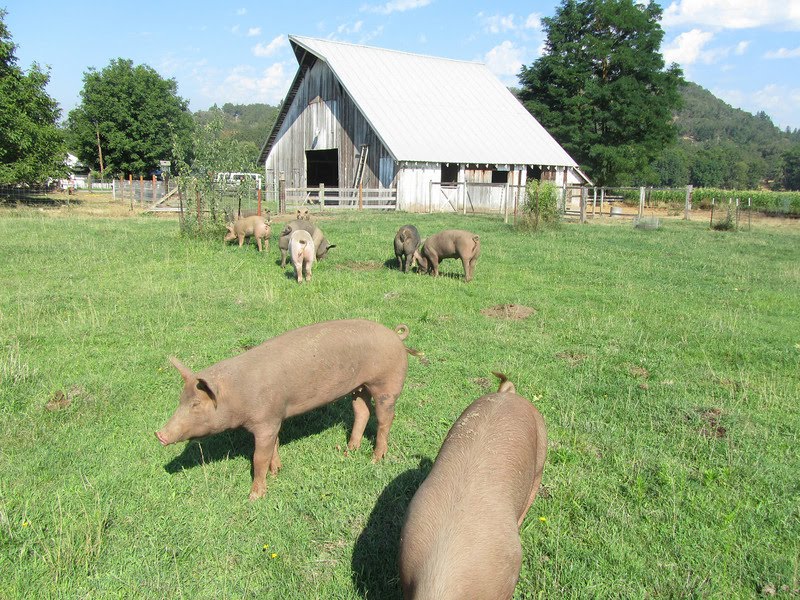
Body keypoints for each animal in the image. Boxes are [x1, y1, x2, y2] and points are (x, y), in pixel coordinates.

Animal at [155, 319, 413, 500]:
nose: (159, 434)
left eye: (196, 405)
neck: (237, 393)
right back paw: (348, 451)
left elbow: (259, 457)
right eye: (180, 400)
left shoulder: (265, 420)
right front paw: (277, 471)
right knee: (362, 411)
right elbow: (274, 445)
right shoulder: (274, 417)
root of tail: (396, 336)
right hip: (359, 387)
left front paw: (254, 496)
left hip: (387, 384)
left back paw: (375, 459)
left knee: (385, 419)